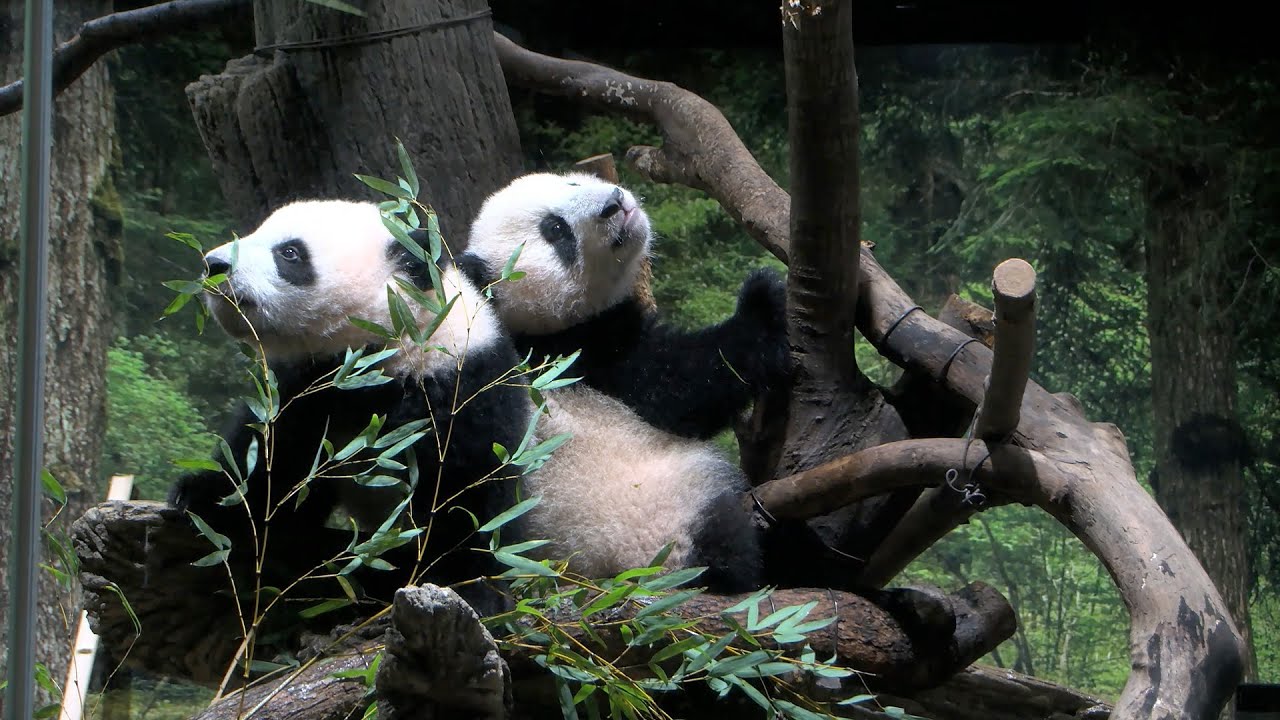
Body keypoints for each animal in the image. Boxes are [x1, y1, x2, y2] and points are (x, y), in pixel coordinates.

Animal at [166, 199, 531, 616]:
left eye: (289, 253)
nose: (215, 265)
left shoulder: (461, 388)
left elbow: (466, 496)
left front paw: (464, 586)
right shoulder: (310, 388)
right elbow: (275, 457)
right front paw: (204, 496)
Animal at [455, 171, 792, 593]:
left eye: (568, 183)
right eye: (555, 230)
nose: (613, 203)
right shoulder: (580, 360)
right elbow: (683, 384)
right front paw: (764, 304)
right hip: (663, 523)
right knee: (724, 545)